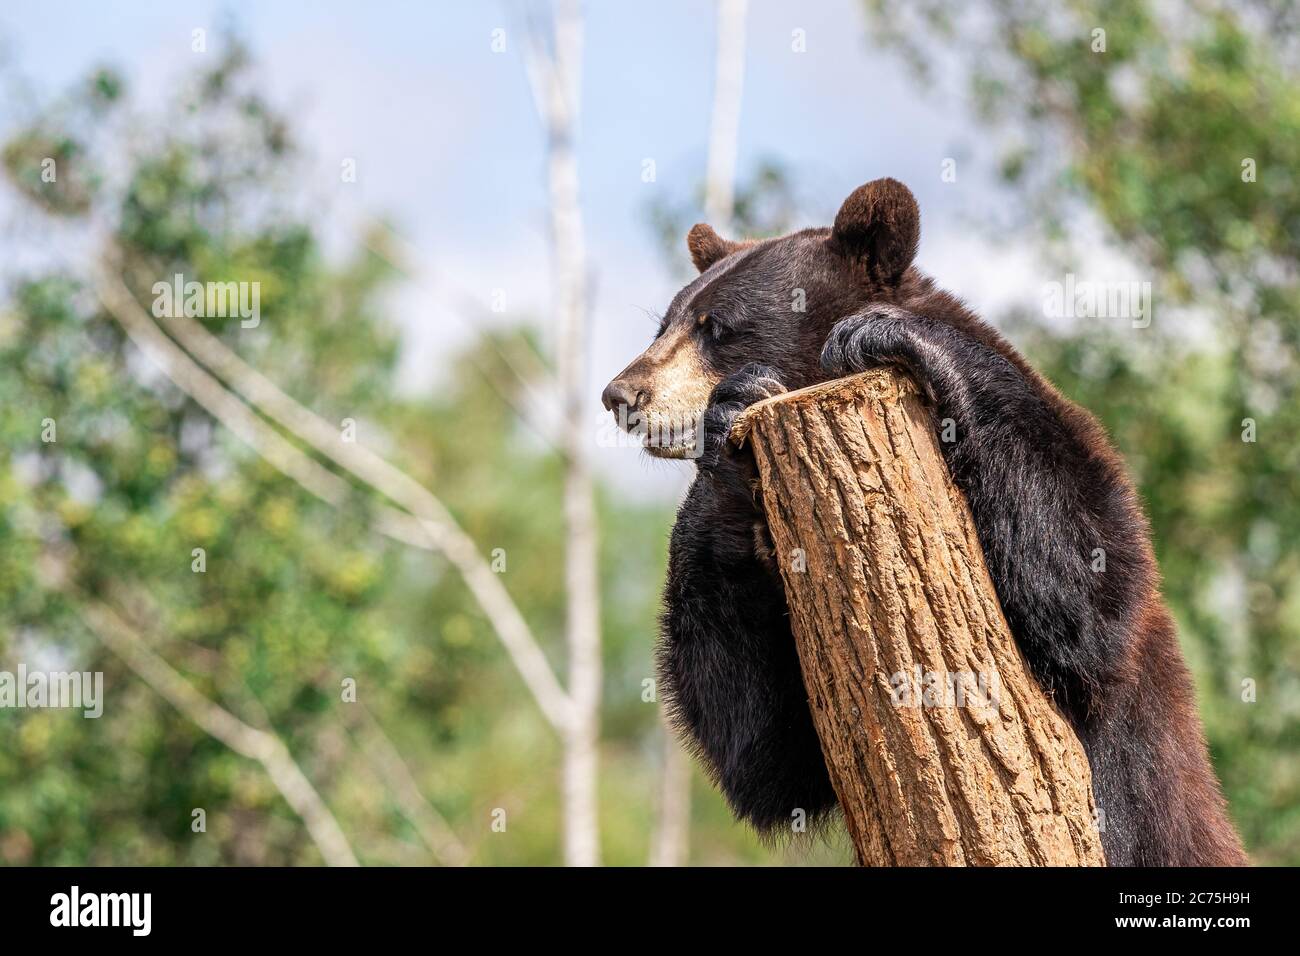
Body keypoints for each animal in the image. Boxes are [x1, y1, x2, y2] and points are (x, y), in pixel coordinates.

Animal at [601, 178, 1248, 867]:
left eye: (715, 325)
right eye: (665, 324)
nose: (621, 395)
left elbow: (1093, 591)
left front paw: (886, 335)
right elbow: (762, 745)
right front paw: (729, 424)